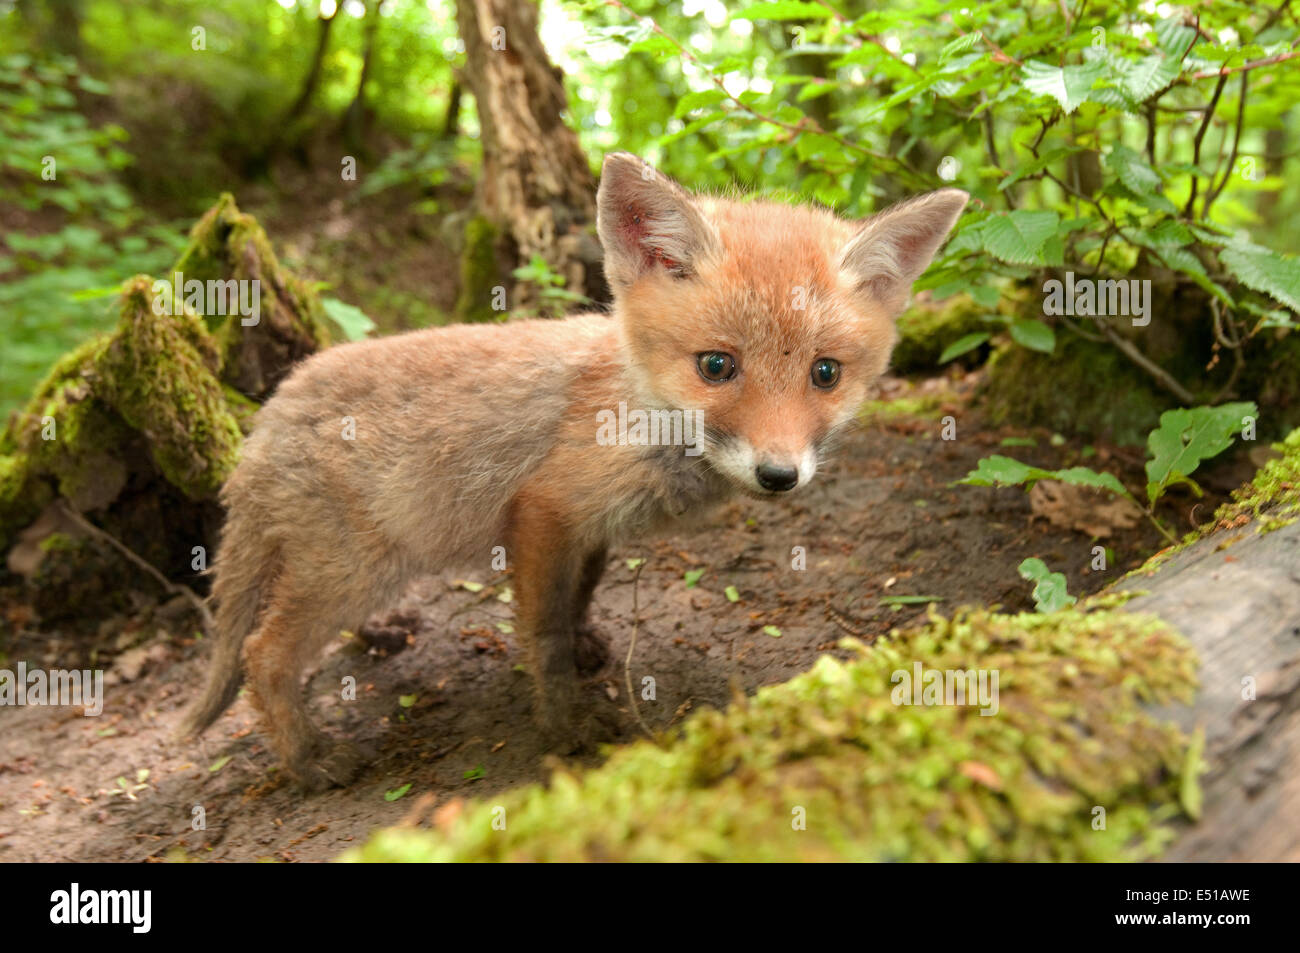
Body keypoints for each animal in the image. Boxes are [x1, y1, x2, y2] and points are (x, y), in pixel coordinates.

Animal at [179, 152, 968, 790]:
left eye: (825, 374)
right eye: (717, 366)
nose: (779, 474)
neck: (635, 410)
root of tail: (266, 416)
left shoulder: (587, 529)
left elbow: (580, 595)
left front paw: (588, 648)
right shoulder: (544, 511)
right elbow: (545, 633)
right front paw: (564, 726)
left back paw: (378, 639)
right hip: (350, 567)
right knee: (260, 652)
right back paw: (307, 760)